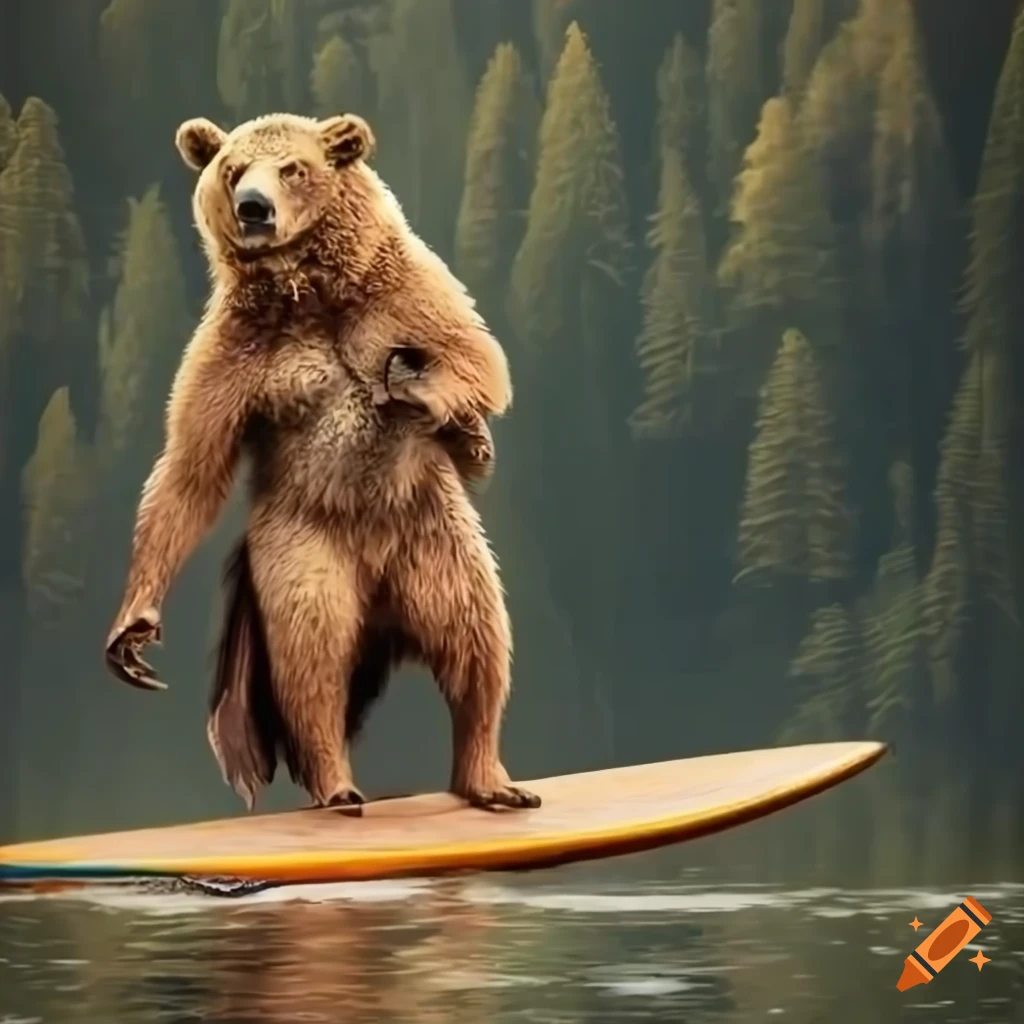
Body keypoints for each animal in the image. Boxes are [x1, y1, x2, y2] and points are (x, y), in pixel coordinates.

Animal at [103, 109, 540, 814]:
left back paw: (490, 779)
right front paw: (133, 630)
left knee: (476, 640)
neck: (306, 295)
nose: (253, 208)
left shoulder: (407, 293)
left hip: (434, 543)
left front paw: (419, 392)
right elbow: (190, 469)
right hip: (305, 549)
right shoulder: (230, 354)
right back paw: (336, 784)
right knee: (313, 656)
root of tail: (381, 592)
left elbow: (479, 361)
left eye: (292, 168)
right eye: (233, 169)